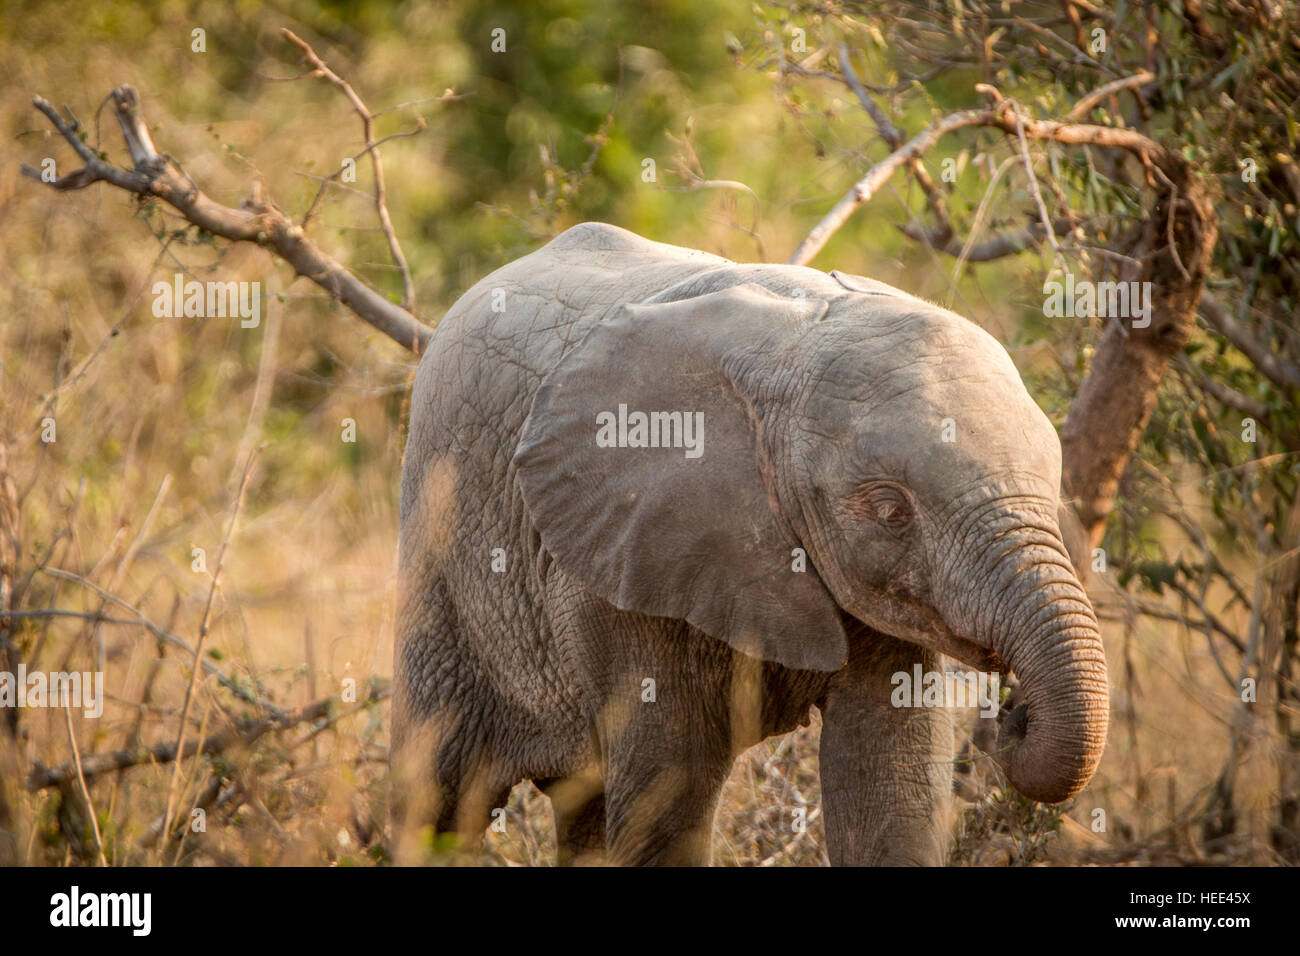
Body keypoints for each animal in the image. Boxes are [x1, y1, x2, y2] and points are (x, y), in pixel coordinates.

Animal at [391, 221, 1109, 866]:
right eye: (890, 511)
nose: (1007, 715)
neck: (789, 353)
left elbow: (889, 789)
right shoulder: (624, 564)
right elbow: (670, 802)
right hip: (438, 546)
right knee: (438, 800)